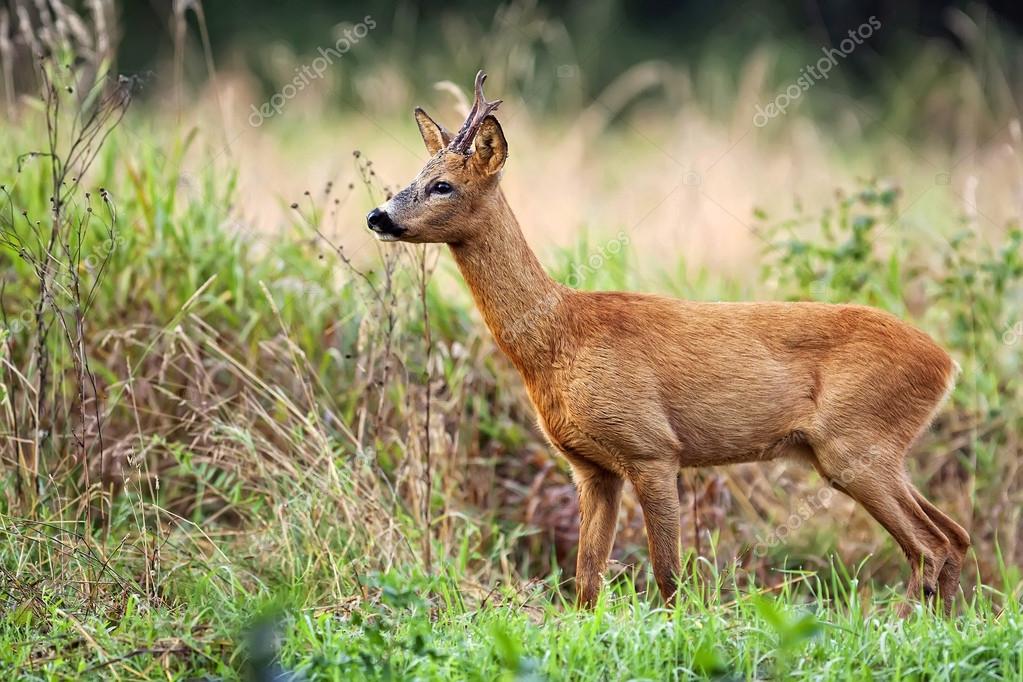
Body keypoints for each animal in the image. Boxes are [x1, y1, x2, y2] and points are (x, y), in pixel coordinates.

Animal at [365, 71, 971, 616]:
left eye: (443, 184)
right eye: (416, 173)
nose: (377, 215)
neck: (558, 339)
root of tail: (947, 363)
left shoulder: (652, 447)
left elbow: (669, 575)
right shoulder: (591, 467)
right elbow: (586, 583)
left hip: (855, 441)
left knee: (930, 544)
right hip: (871, 450)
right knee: (954, 535)